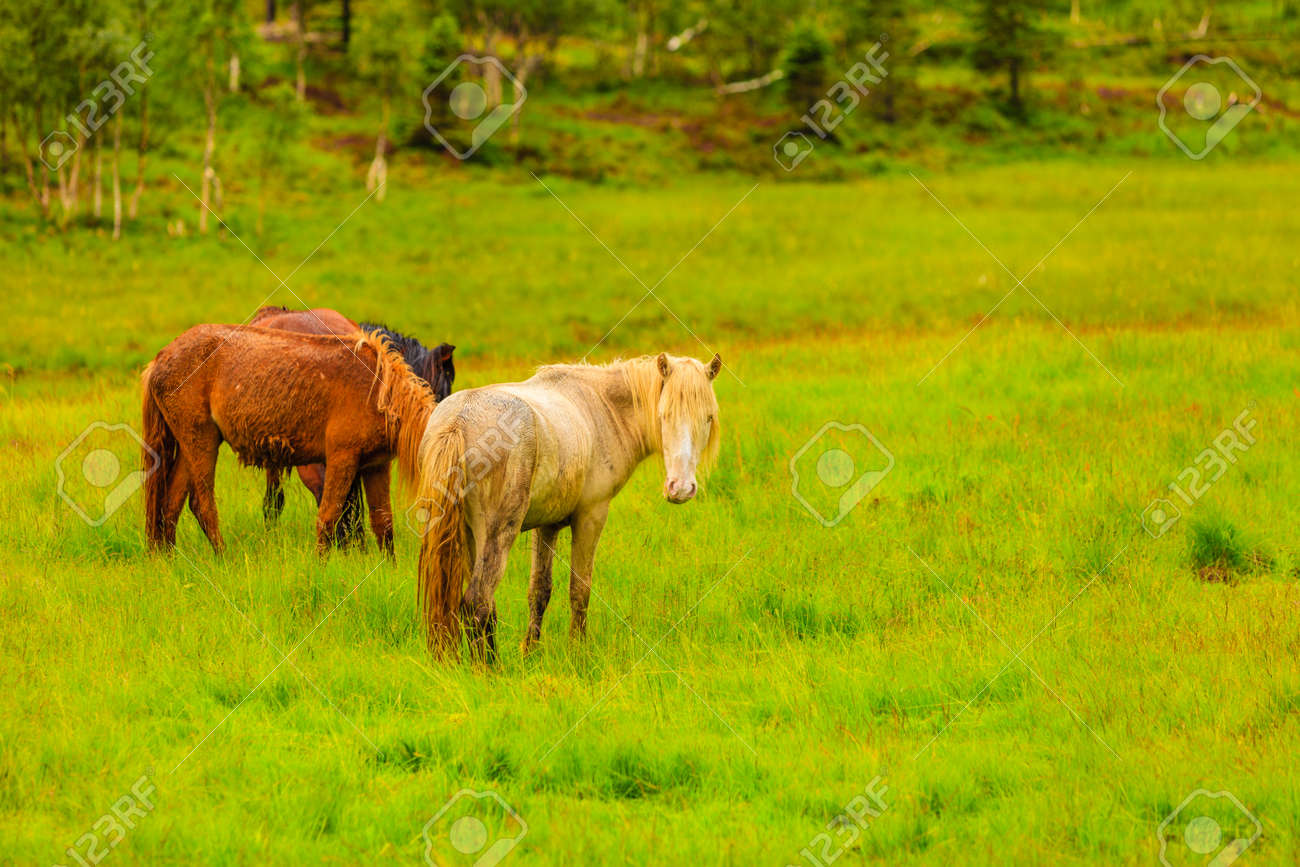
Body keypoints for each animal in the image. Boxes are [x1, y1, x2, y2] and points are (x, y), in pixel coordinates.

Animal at [141, 326, 436, 554]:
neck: (378, 392)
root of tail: (159, 360)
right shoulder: (342, 458)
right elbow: (328, 517)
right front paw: (319, 567)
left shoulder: (375, 465)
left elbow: (383, 523)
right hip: (201, 441)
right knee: (201, 505)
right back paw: (222, 558)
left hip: (189, 445)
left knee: (170, 504)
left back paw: (169, 560)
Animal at [403, 351, 723, 660]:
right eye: (663, 415)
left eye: (708, 417)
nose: (681, 489)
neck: (600, 407)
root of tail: (458, 421)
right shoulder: (591, 517)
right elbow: (579, 590)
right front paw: (578, 653)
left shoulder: (547, 526)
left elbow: (539, 590)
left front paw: (530, 652)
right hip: (496, 535)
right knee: (478, 603)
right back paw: (489, 668)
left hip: (468, 536)